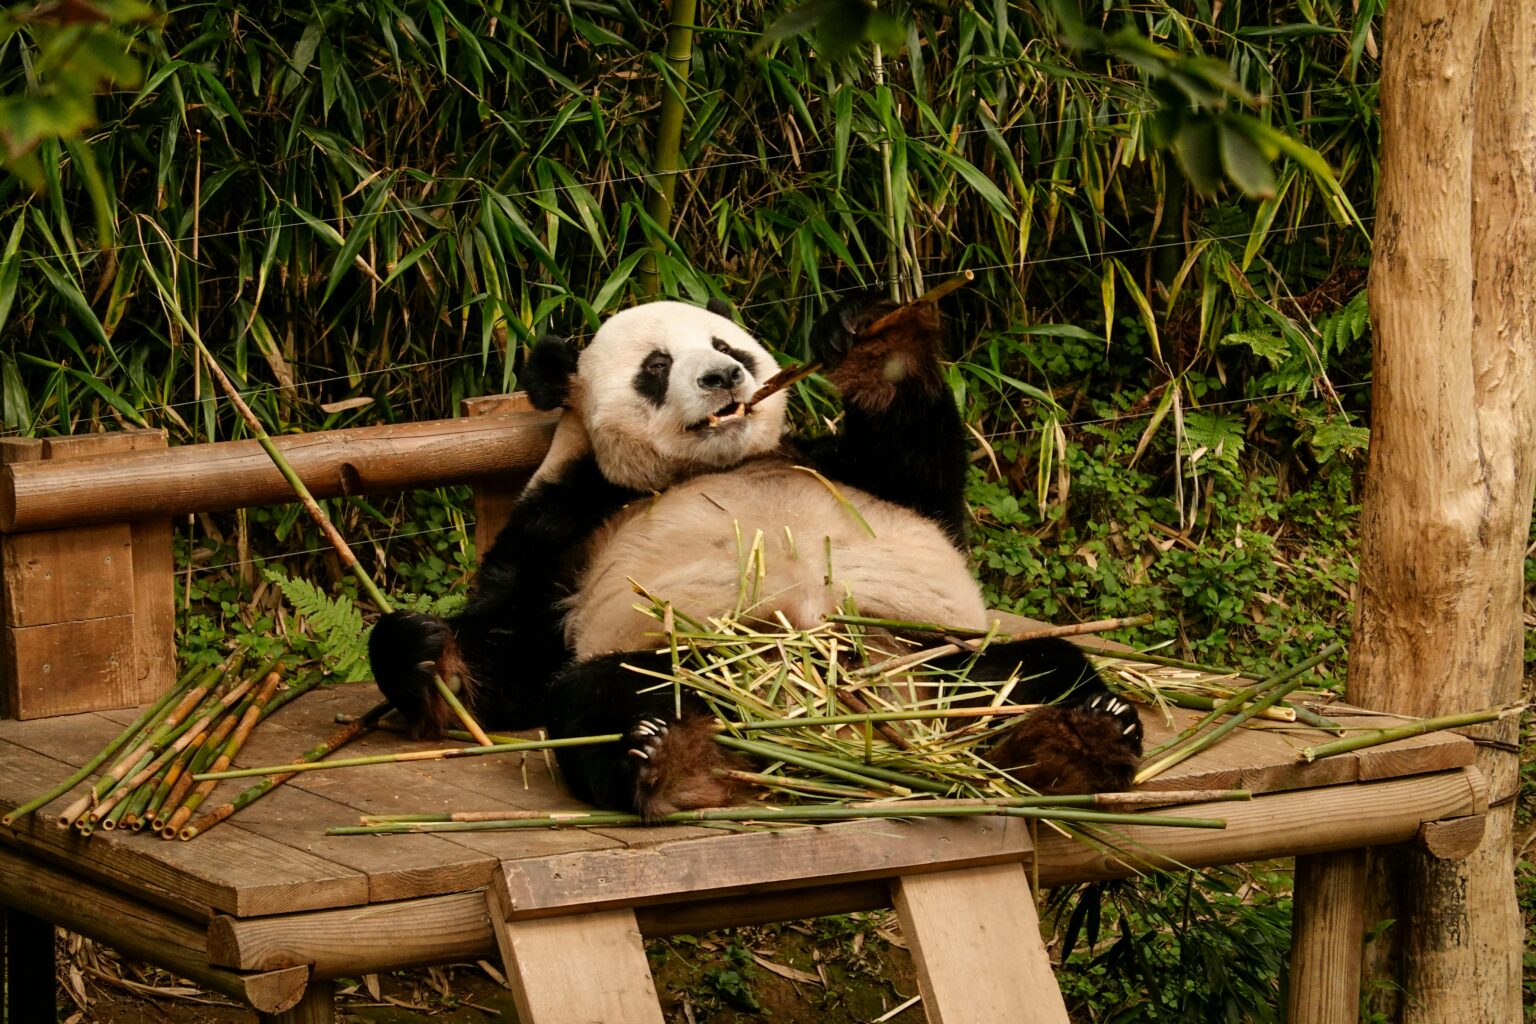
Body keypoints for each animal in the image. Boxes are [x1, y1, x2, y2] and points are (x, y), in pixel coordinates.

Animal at [368, 295, 1143, 819]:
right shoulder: (572, 513)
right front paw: (422, 652)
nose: (720, 378)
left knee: (1032, 670)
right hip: (692, 663)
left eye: (728, 346)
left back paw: (1088, 736)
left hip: (929, 652)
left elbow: (928, 487)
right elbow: (516, 647)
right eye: (657, 367)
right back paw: (664, 761)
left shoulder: (838, 468)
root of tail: (846, 727)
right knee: (599, 697)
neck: (721, 461)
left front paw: (870, 337)